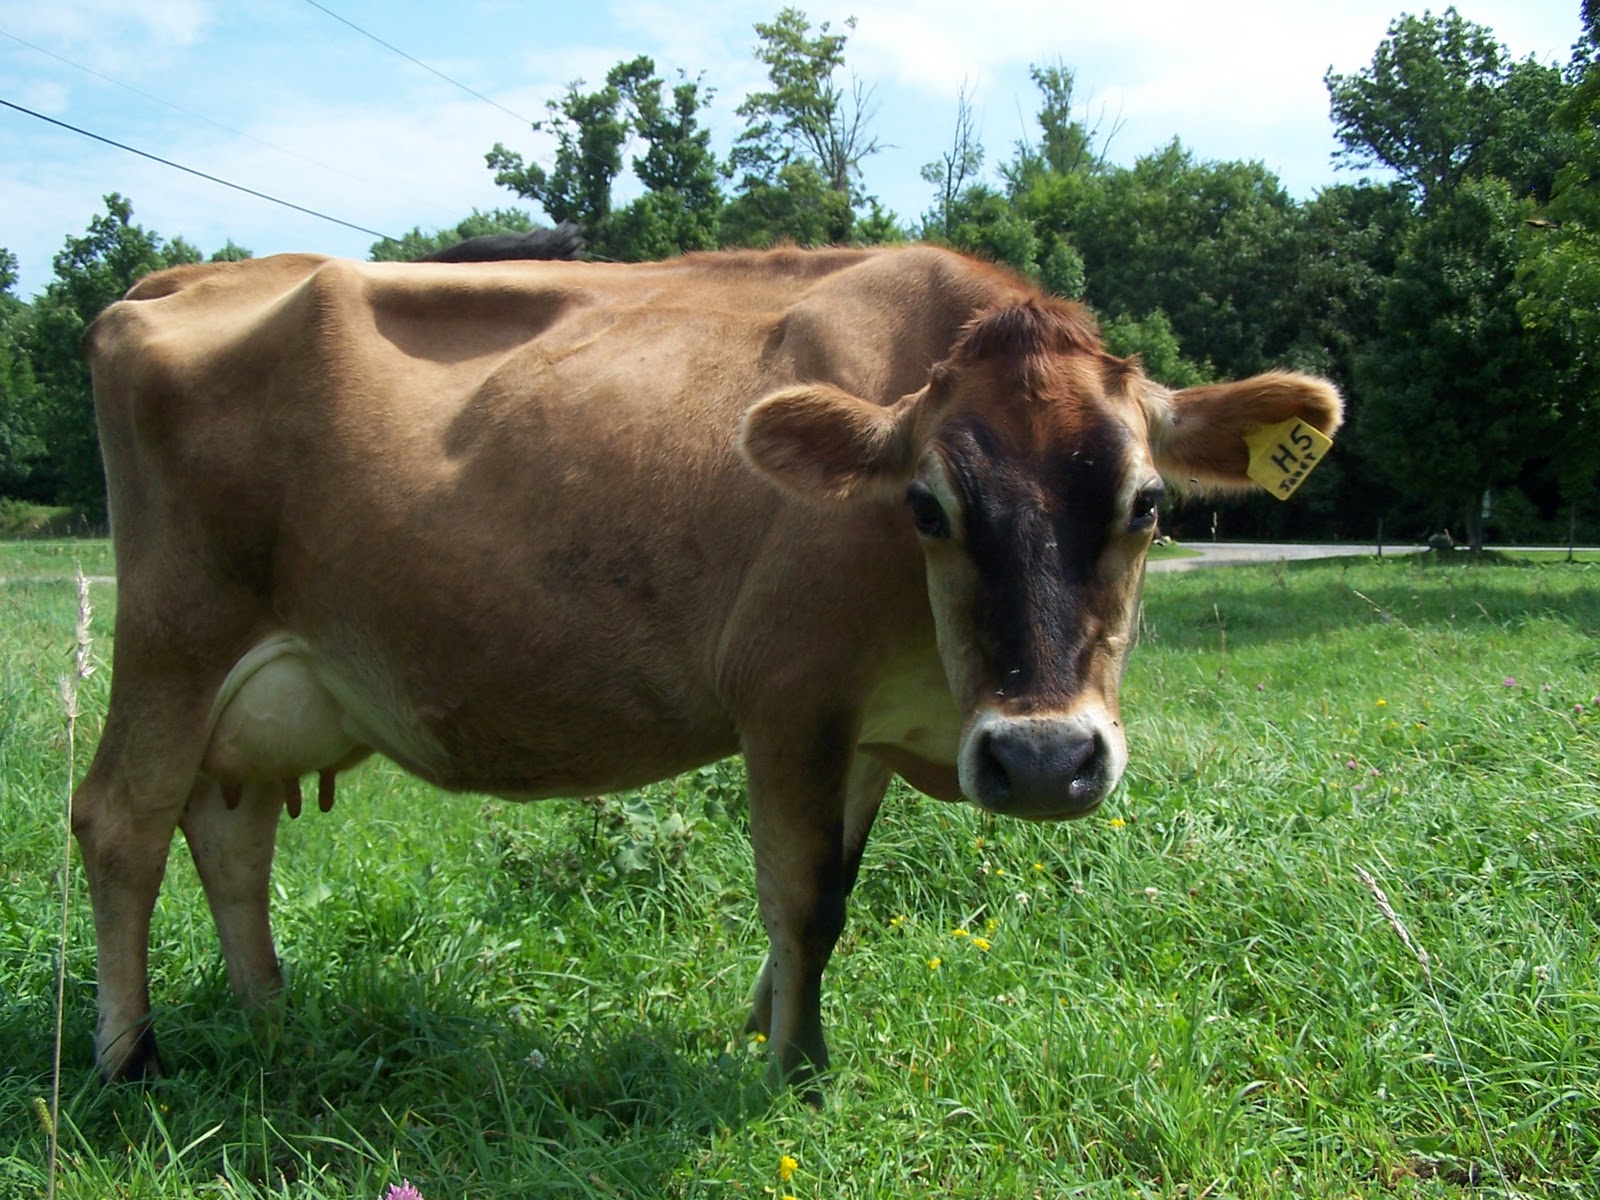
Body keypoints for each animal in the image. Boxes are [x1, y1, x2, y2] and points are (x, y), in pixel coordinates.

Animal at [75, 245, 1341, 1089]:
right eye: (927, 506)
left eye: (1147, 504)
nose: (1040, 761)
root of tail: (175, 279)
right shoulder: (787, 696)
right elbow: (802, 892)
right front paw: (796, 1069)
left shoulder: (863, 726)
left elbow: (836, 886)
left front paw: (764, 1021)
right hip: (175, 634)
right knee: (121, 820)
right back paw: (130, 1057)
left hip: (260, 691)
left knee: (231, 833)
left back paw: (270, 1019)